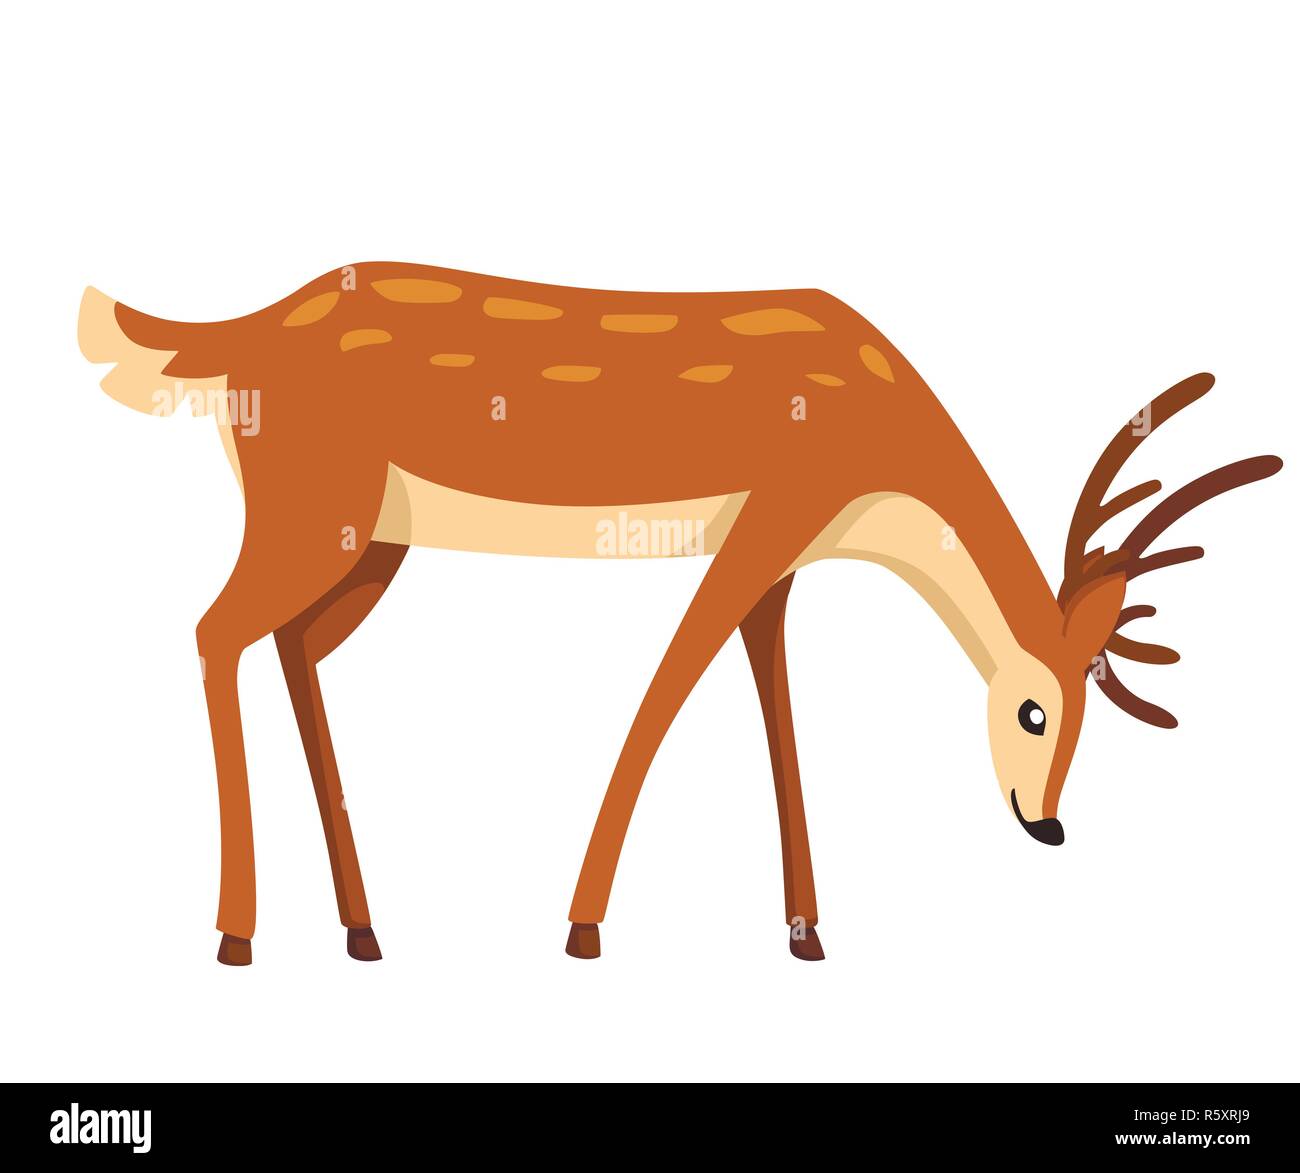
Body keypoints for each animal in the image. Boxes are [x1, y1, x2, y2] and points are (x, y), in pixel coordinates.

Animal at [77, 264, 1282, 966]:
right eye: (1035, 709)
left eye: (1089, 711)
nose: (1047, 824)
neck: (878, 466)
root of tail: (229, 338)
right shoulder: (773, 513)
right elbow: (673, 678)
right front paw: (582, 926)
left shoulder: (786, 559)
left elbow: (772, 694)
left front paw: (807, 933)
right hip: (314, 511)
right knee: (214, 629)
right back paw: (236, 935)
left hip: (367, 536)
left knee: (286, 642)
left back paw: (365, 930)